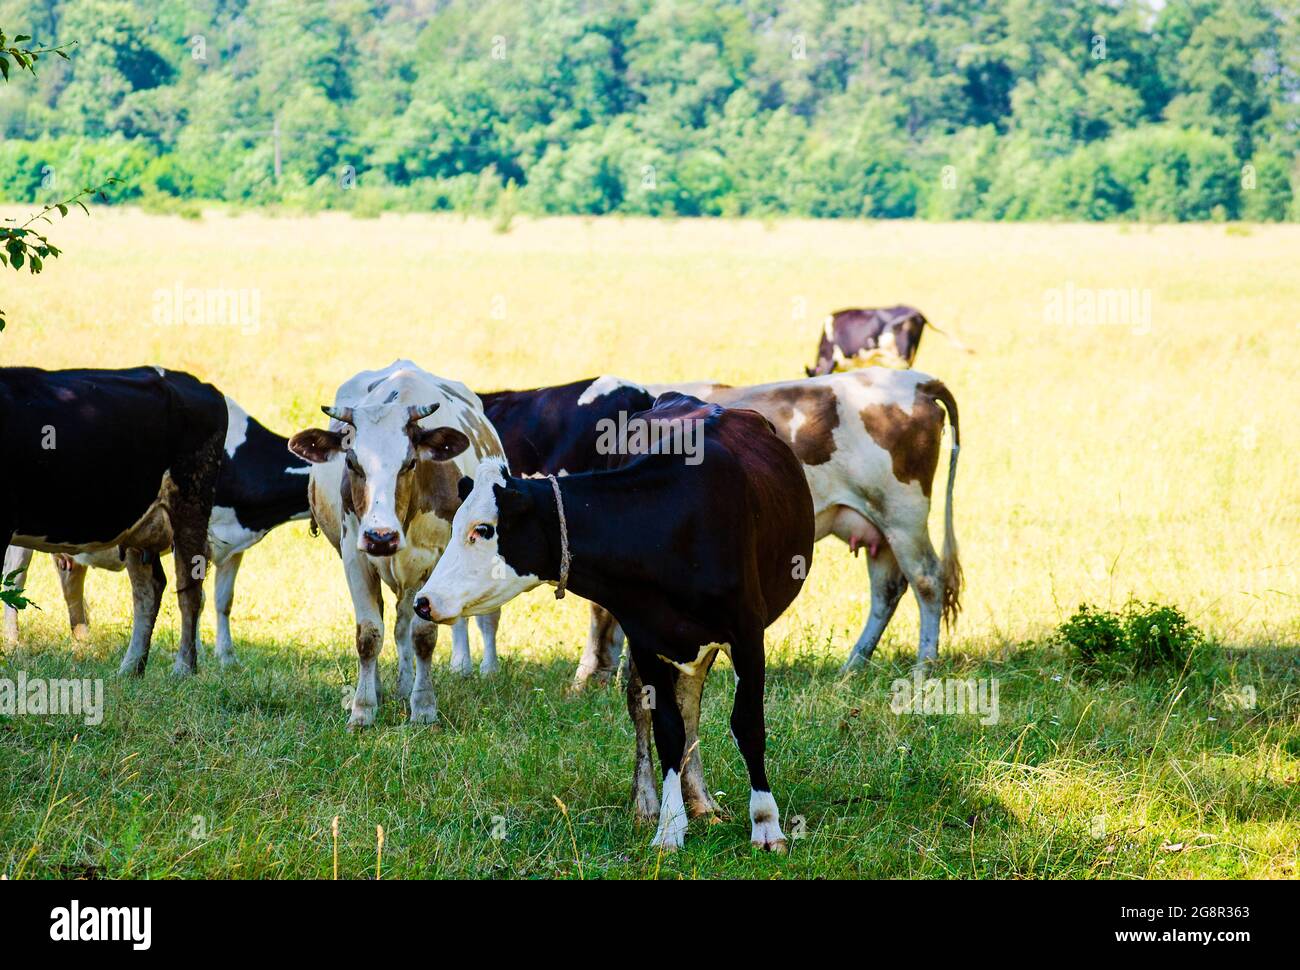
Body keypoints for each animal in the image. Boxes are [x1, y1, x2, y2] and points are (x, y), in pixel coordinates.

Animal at [0, 366, 227, 676]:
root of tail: (197, 384)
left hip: (191, 501)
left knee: (189, 589)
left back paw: (183, 668)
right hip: (140, 527)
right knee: (149, 588)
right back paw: (130, 669)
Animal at [2, 395, 311, 666]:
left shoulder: (234, 546)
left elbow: (223, 600)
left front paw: (227, 660)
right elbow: (196, 594)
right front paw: (198, 654)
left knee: (71, 579)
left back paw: (84, 647)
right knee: (14, 580)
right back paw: (15, 646)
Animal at [288, 360, 505, 729]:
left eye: (411, 462)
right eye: (351, 462)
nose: (381, 536)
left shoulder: (434, 559)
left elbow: (423, 635)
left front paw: (423, 706)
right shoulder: (355, 557)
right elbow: (368, 633)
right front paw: (363, 708)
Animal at [412, 392, 815, 852]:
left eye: (483, 529)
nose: (423, 601)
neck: (670, 525)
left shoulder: (747, 634)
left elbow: (747, 724)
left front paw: (766, 824)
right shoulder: (644, 636)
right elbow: (667, 728)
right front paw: (669, 826)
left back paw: (703, 801)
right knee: (662, 708)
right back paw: (657, 801)